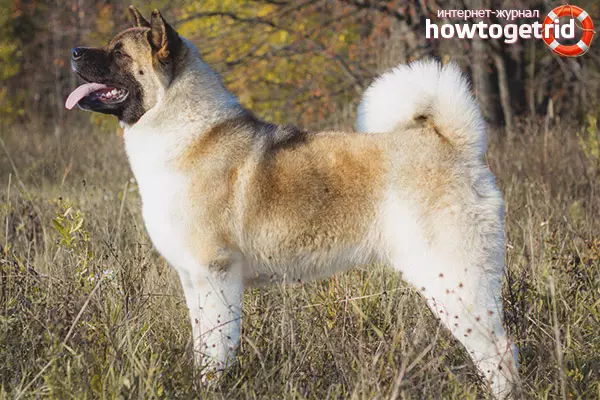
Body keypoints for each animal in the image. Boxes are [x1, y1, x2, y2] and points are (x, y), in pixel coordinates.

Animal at [64, 6, 516, 396]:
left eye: (119, 53)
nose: (74, 51)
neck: (185, 130)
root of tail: (453, 144)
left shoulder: (215, 276)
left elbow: (218, 349)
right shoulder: (194, 280)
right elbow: (203, 349)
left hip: (453, 282)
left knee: (500, 353)